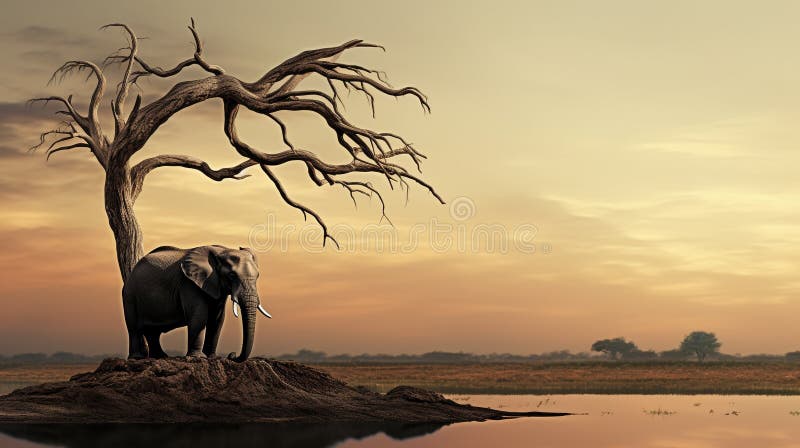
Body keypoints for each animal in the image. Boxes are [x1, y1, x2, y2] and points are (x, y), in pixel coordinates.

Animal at [122, 245, 271, 362]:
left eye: (257, 276)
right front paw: (198, 357)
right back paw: (137, 358)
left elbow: (217, 319)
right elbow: (199, 316)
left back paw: (160, 357)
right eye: (232, 275)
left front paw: (212, 357)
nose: (232, 355)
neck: (221, 250)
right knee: (133, 328)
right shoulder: (189, 283)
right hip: (129, 295)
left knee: (152, 331)